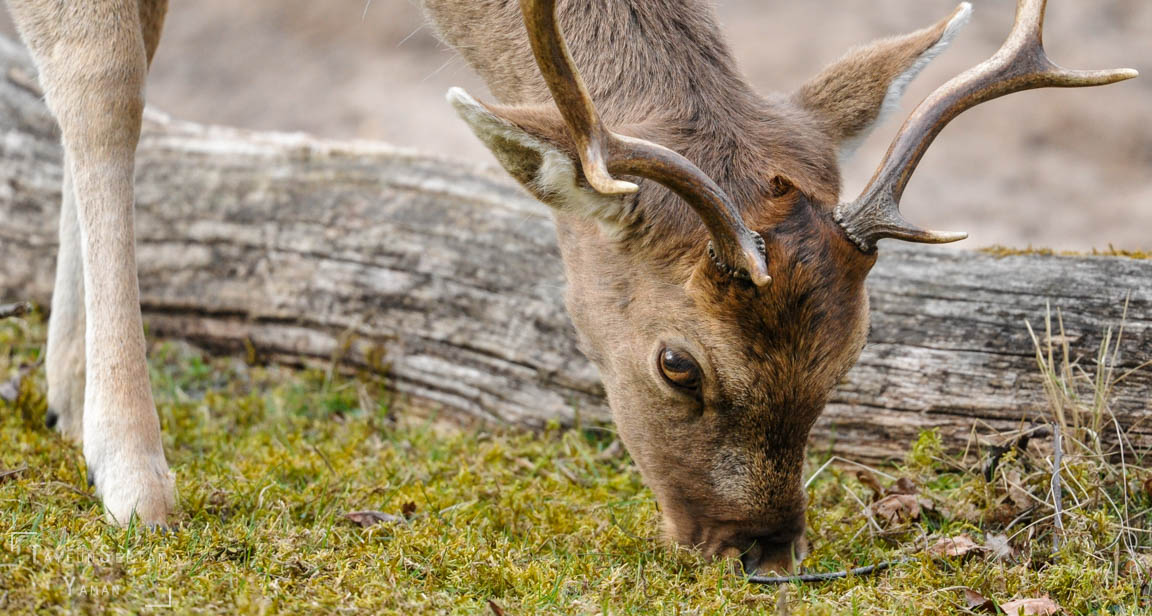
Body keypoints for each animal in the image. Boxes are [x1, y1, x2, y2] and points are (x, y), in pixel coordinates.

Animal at [2, 0, 1133, 576]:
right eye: (677, 363)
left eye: (853, 349)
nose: (763, 553)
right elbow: (105, 82)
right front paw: (133, 477)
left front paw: (68, 391)